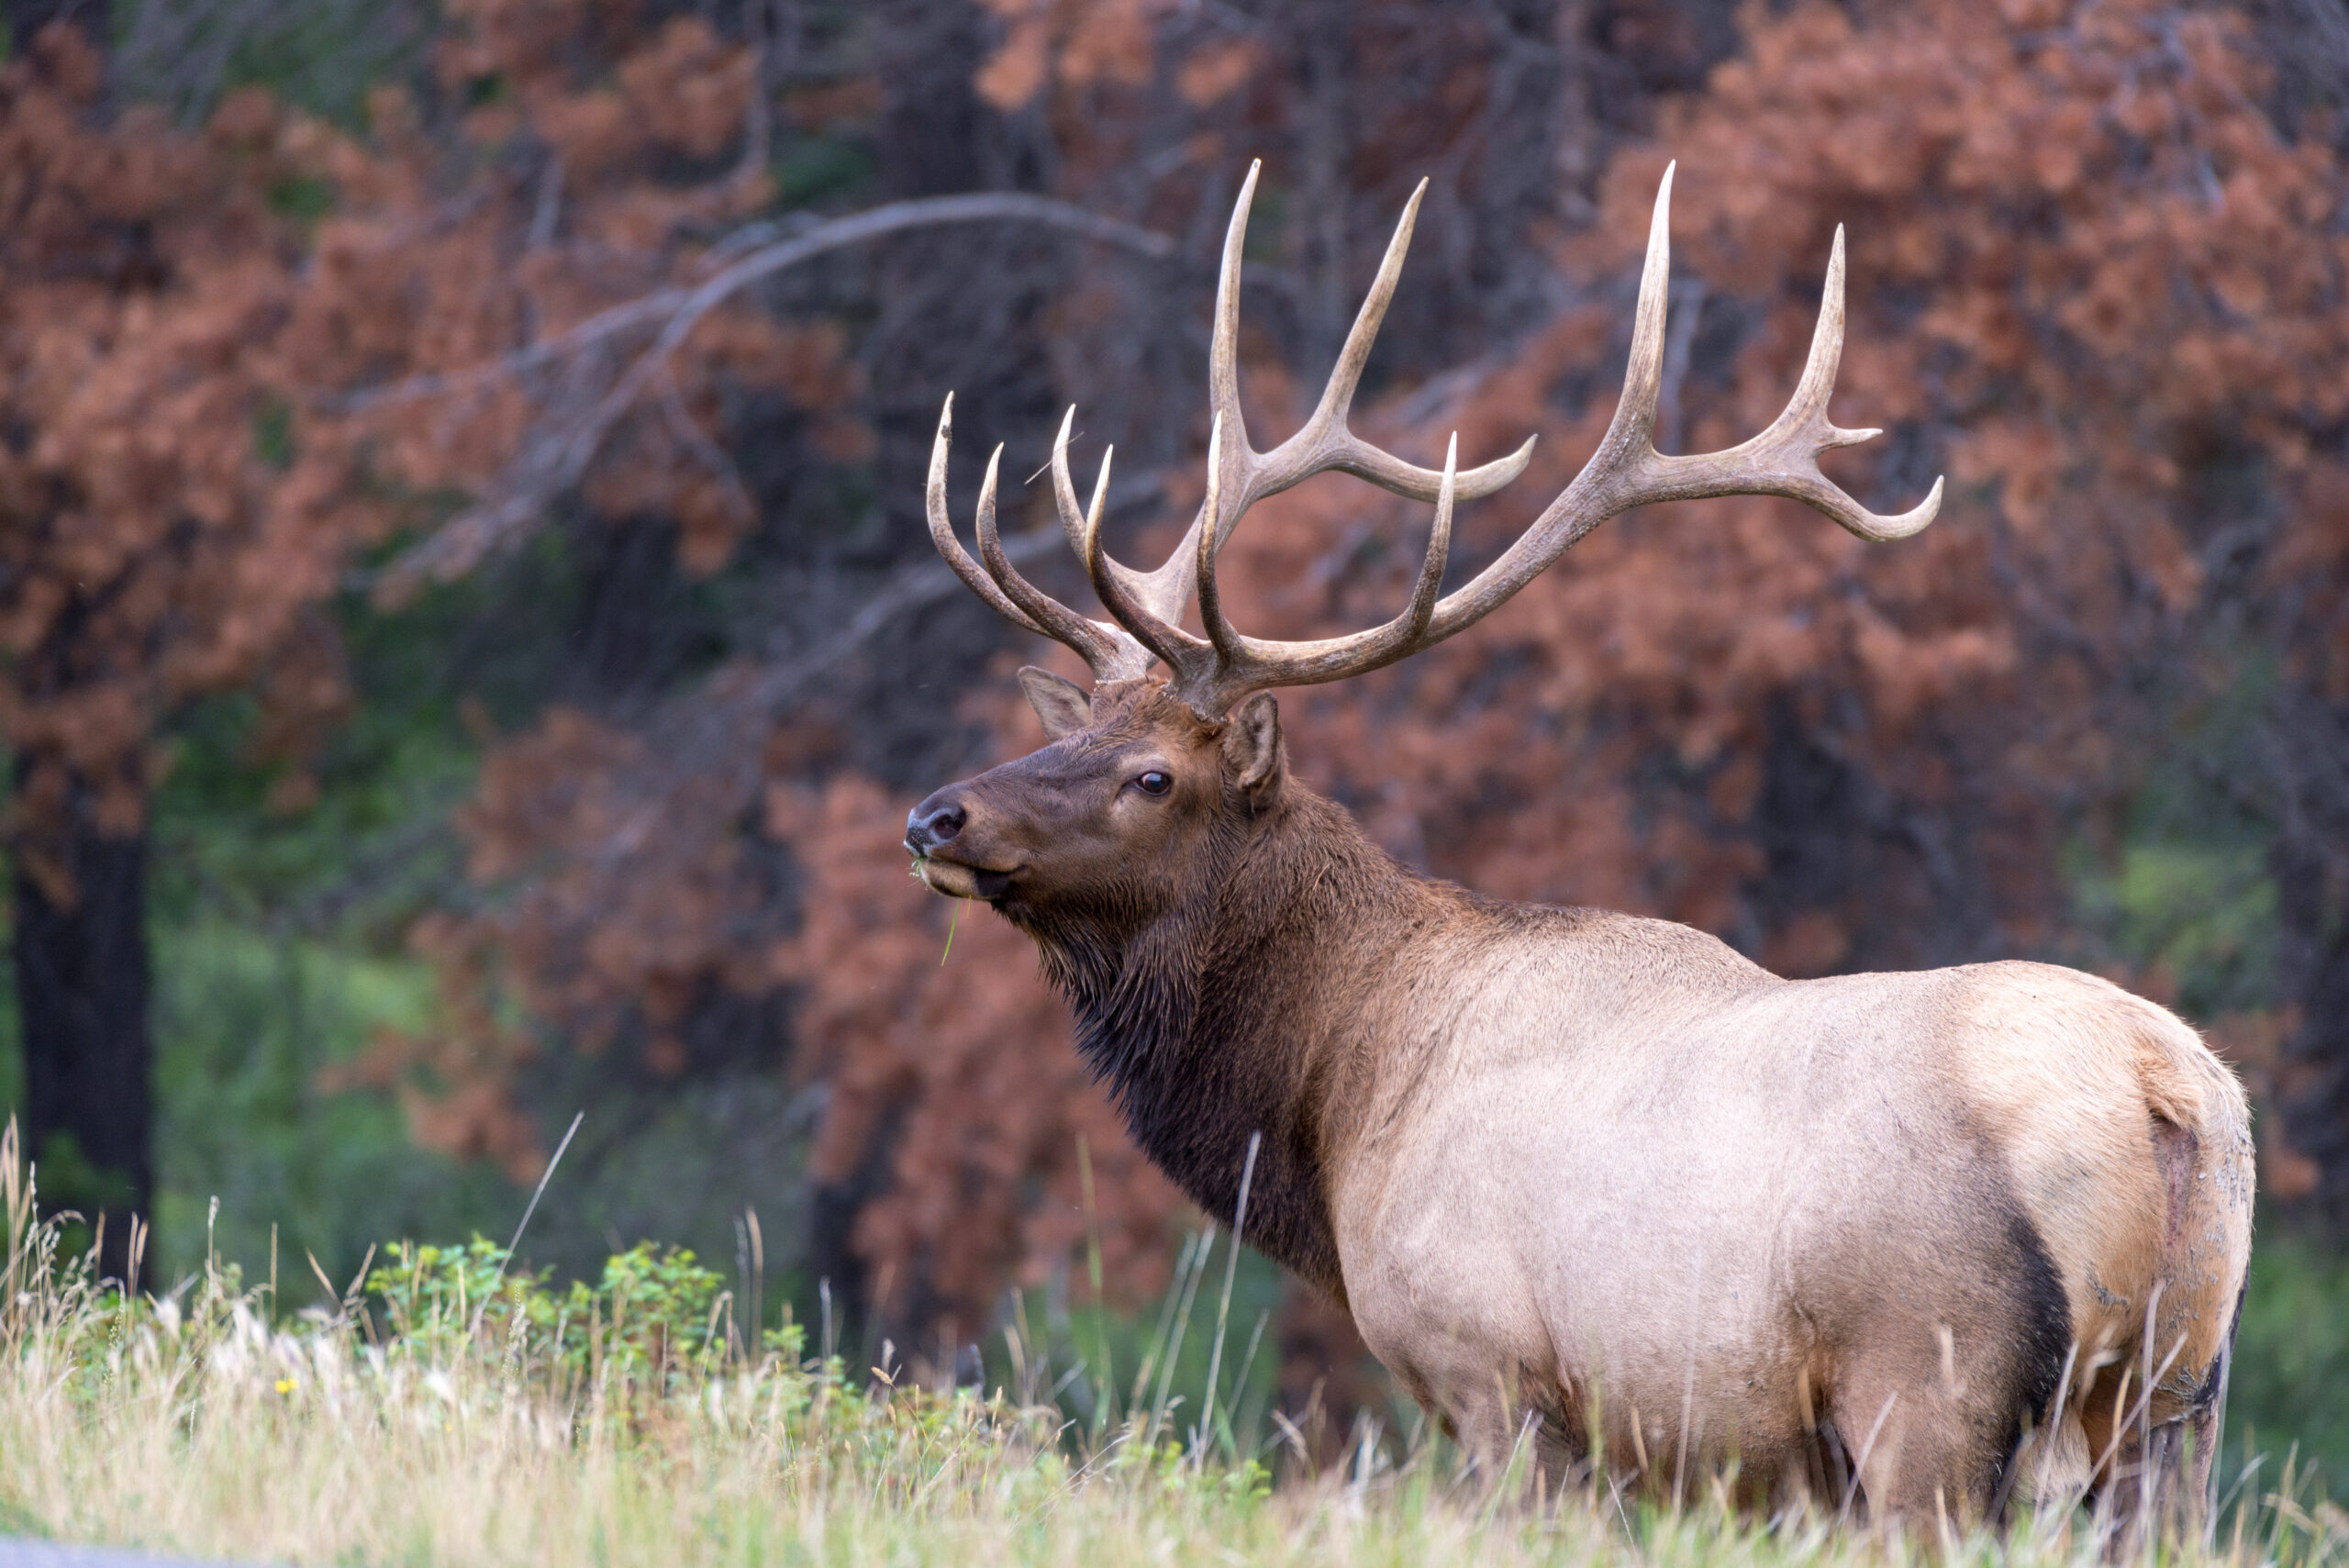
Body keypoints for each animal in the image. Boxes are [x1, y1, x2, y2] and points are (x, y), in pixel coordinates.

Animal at [901, 162, 2254, 1526]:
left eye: (1153, 775)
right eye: (1080, 731)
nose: (935, 815)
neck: (1338, 1103)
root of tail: (2165, 1091)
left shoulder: (1490, 1372)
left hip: (1927, 1381)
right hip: (2177, 1402)